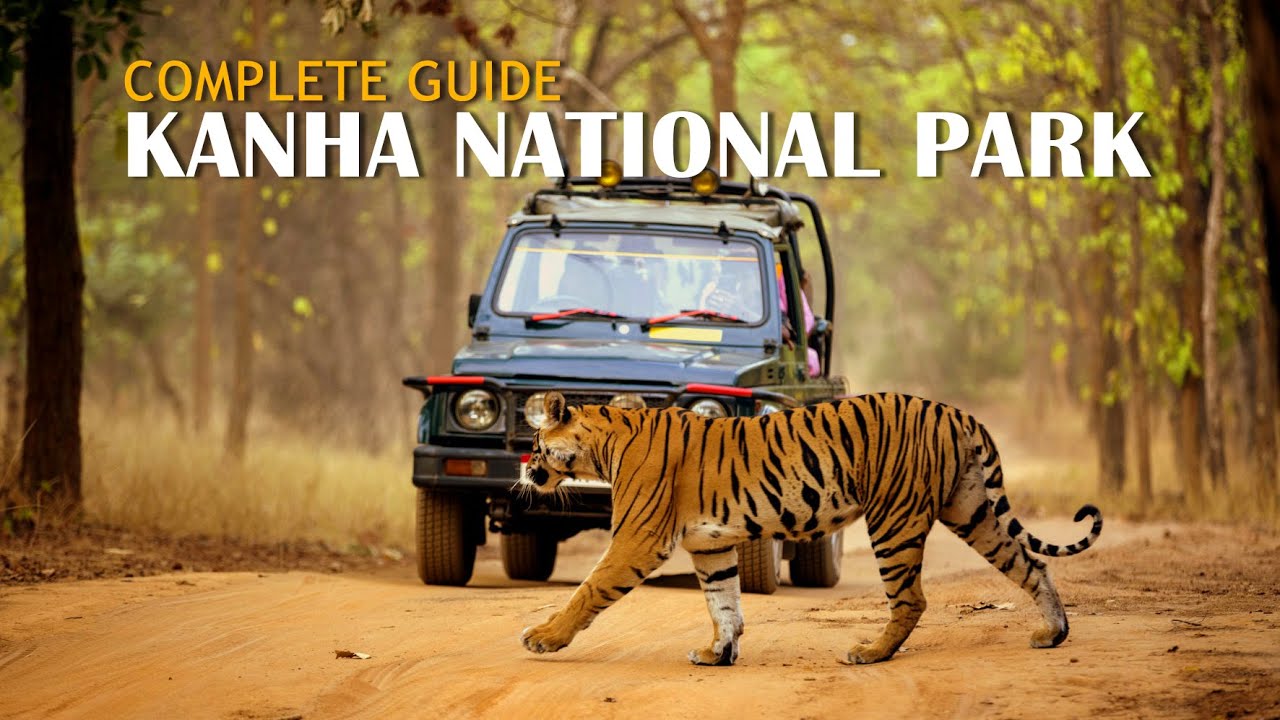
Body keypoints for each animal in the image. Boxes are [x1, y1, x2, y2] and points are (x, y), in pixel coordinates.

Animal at [520, 391, 1102, 666]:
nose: (525, 470)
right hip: (972, 510)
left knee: (911, 599)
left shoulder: (638, 539)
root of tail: (953, 411)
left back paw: (869, 653)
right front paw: (718, 655)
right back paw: (1053, 634)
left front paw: (543, 637)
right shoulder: (710, 547)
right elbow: (723, 604)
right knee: (1030, 563)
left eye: (536, 444)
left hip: (893, 518)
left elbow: (589, 590)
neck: (603, 446)